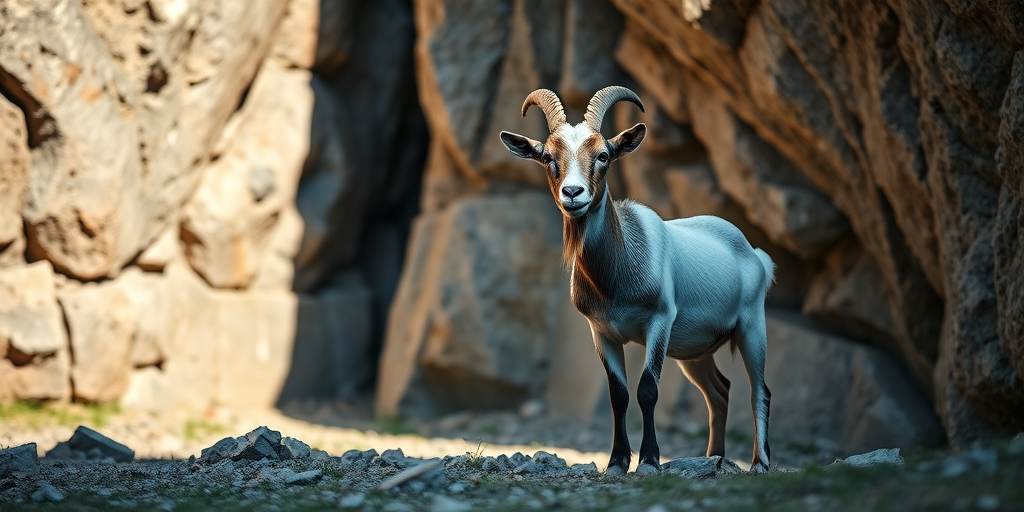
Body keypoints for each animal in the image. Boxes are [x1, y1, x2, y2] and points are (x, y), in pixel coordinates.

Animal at [499, 87, 774, 475]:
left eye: (603, 155)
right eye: (548, 157)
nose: (573, 193)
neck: (617, 273)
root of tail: (756, 254)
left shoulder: (659, 322)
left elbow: (647, 390)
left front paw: (649, 460)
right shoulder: (602, 332)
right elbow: (619, 394)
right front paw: (616, 462)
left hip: (751, 327)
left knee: (759, 390)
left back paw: (760, 463)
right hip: (694, 351)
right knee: (719, 390)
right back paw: (714, 458)